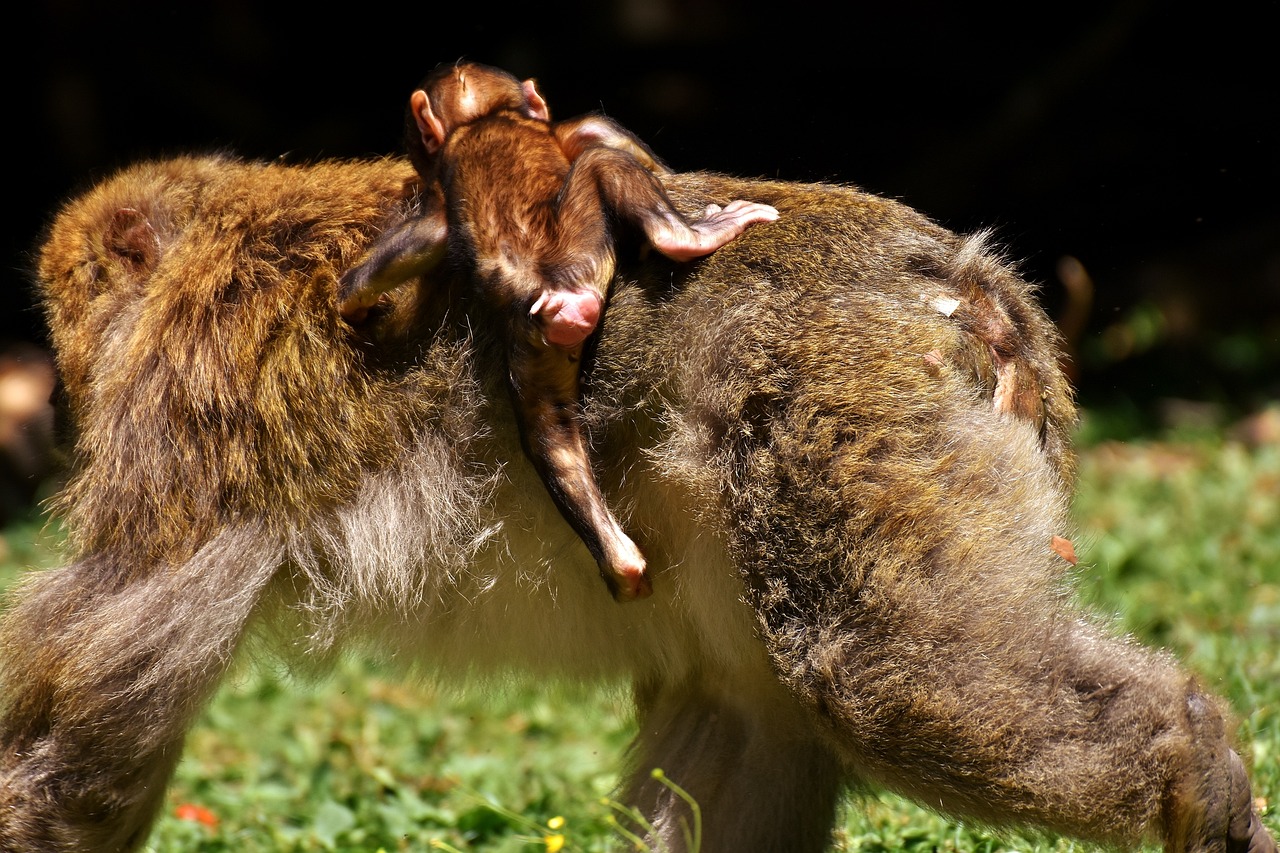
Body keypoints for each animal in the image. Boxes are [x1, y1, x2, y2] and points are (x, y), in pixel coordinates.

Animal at [0, 154, 1274, 850]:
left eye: (66, 334)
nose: (55, 407)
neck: (199, 251)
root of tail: (962, 281)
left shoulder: (186, 411)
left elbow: (111, 665)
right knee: (755, 710)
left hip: (832, 403)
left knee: (883, 673)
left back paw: (1192, 754)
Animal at [340, 63, 773, 596]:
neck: (479, 119)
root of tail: (553, 297)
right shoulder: (575, 130)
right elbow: (610, 143)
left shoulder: (441, 199)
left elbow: (428, 235)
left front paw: (353, 300)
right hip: (578, 242)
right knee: (603, 164)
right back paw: (686, 236)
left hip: (530, 344)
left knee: (548, 434)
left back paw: (620, 563)